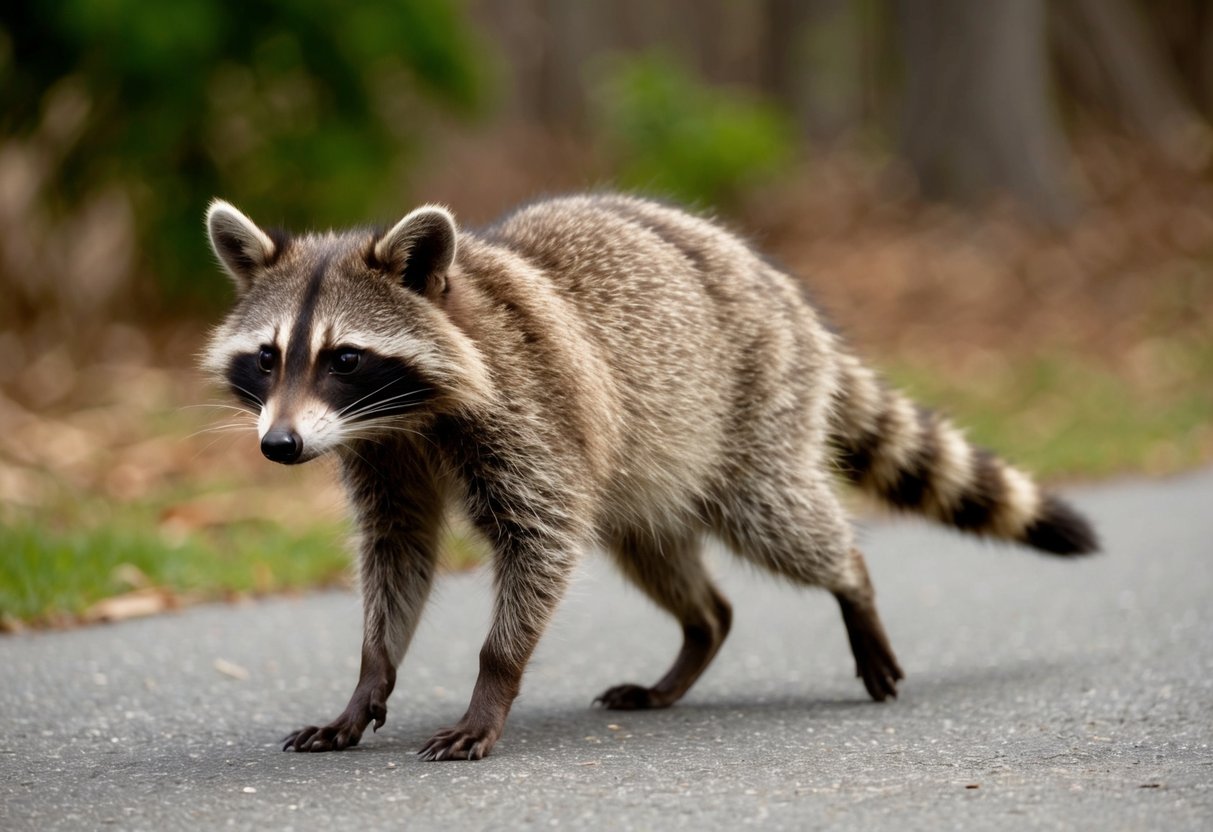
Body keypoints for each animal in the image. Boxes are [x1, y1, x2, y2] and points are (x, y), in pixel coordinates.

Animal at [202, 193, 1097, 760]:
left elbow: (540, 541)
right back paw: (700, 630)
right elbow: (397, 553)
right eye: (268, 357)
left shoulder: (530, 414)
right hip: (650, 475)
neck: (407, 411)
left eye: (345, 358)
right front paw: (367, 680)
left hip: (750, 412)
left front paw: (492, 682)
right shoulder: (381, 453)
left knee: (783, 521)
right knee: (659, 555)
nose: (279, 446)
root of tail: (782, 291)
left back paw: (852, 582)